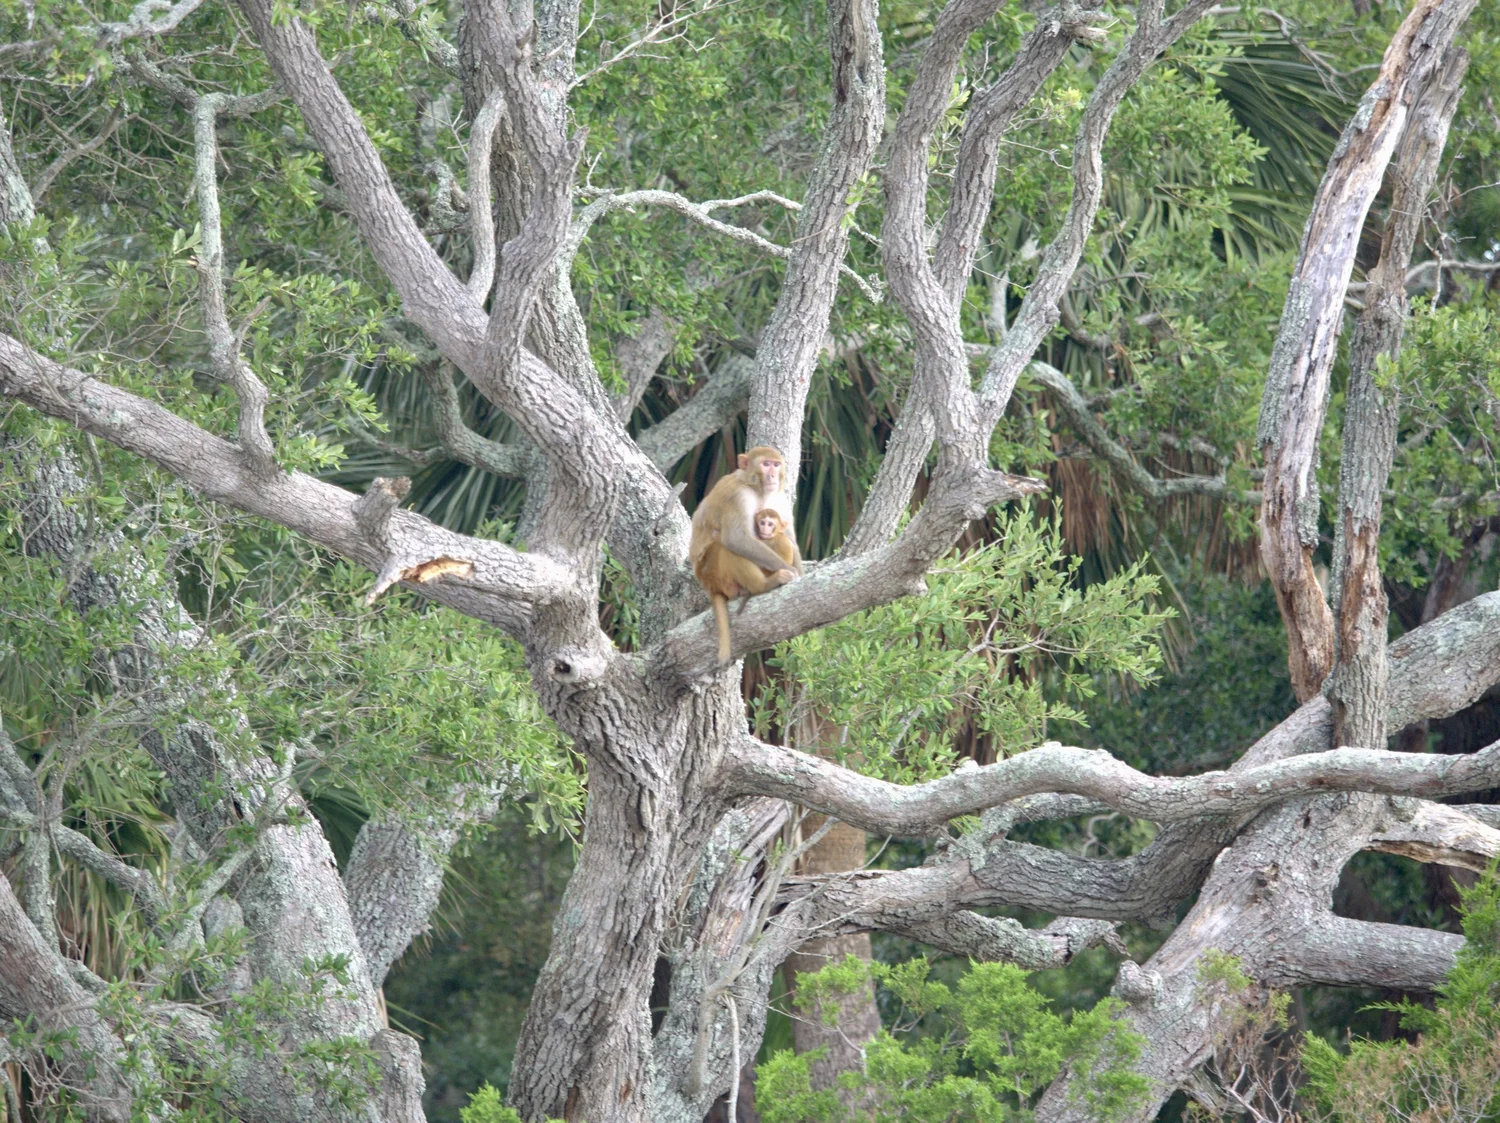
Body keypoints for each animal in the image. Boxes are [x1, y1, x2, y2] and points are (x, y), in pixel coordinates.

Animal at [690, 446, 803, 663]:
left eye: (776, 465)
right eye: (765, 464)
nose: (772, 475)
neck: (757, 489)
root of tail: (708, 587)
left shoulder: (780, 498)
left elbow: (791, 541)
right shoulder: (738, 496)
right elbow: (736, 538)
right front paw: (791, 571)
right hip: (712, 573)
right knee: (725, 547)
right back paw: (764, 585)